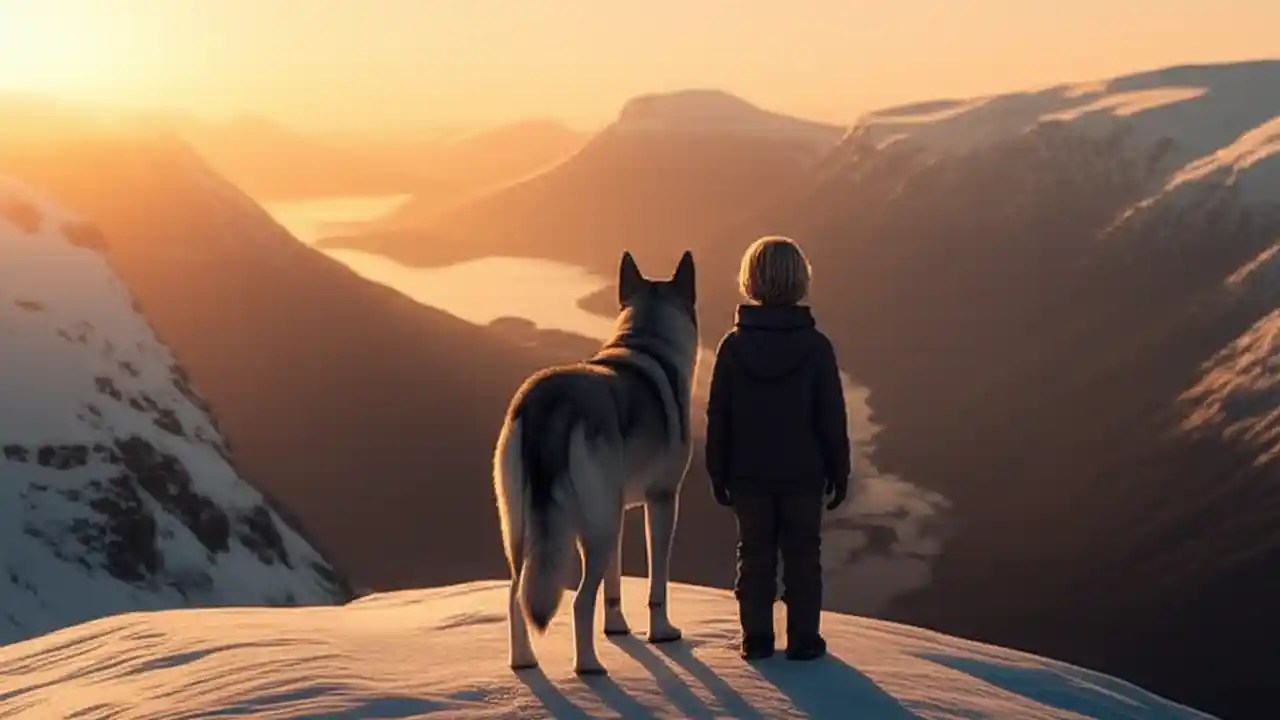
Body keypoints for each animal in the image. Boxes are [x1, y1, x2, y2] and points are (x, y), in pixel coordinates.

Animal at [493, 250, 699, 675]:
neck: (647, 340)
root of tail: (550, 401)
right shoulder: (662, 500)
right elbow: (657, 583)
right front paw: (662, 634)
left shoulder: (618, 509)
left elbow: (615, 585)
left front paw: (618, 629)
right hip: (595, 530)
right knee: (579, 601)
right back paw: (588, 666)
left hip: (525, 531)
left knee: (515, 594)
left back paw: (524, 662)